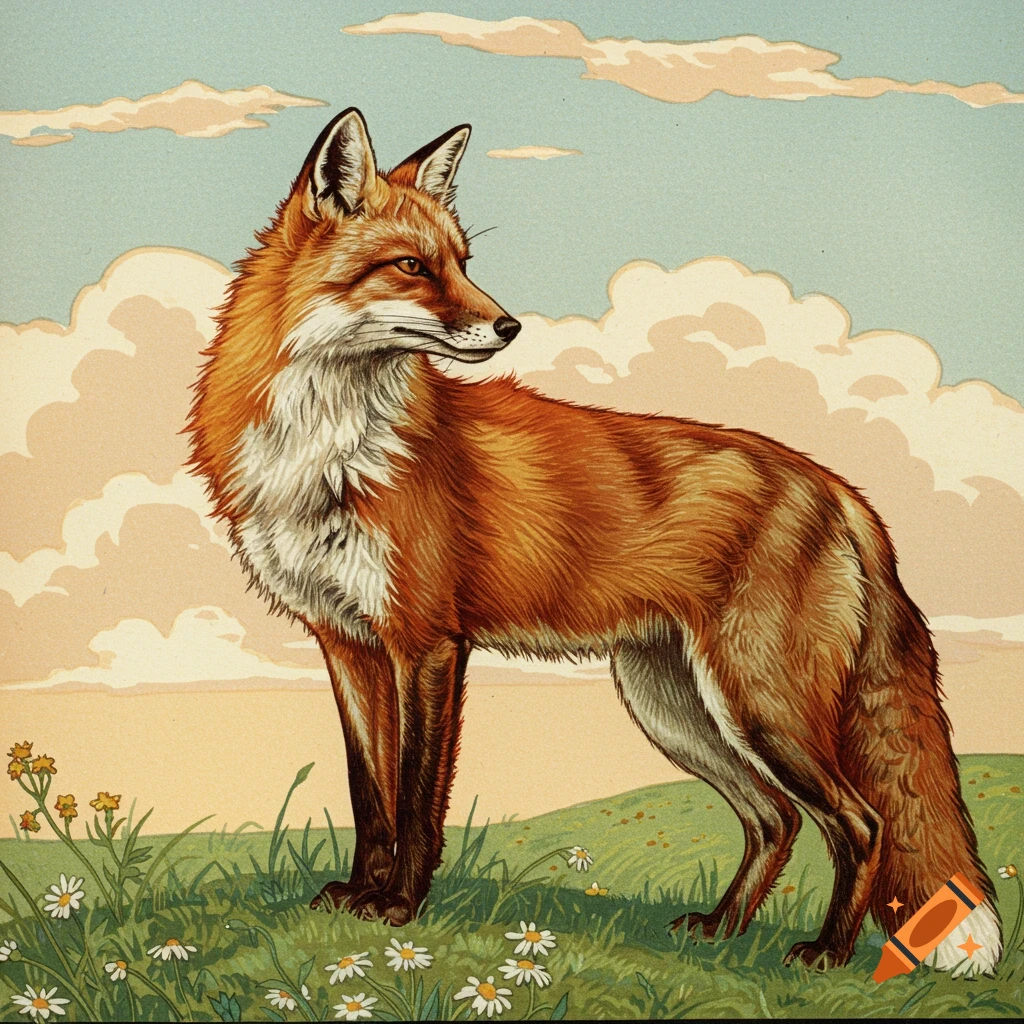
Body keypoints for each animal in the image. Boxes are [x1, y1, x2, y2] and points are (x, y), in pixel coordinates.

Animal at [187, 109, 1000, 974]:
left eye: (464, 263)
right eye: (411, 266)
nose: (509, 325)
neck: (331, 449)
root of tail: (839, 488)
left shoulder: (427, 642)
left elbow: (414, 802)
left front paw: (400, 905)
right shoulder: (346, 643)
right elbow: (369, 794)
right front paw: (359, 896)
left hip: (760, 705)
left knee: (859, 821)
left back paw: (827, 953)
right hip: (673, 705)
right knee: (773, 819)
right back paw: (722, 930)